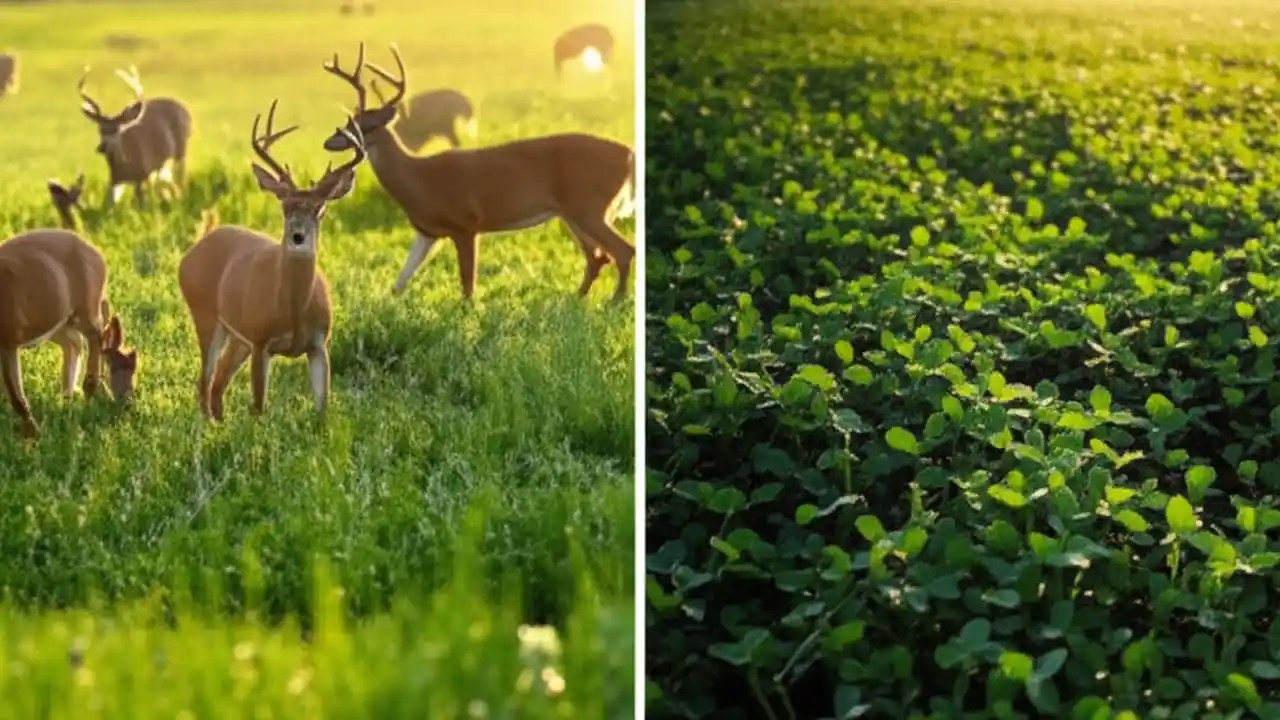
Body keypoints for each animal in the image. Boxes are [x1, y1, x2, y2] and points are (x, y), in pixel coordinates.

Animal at [0, 229, 138, 438]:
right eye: (125, 367)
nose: (129, 404)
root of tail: (99, 256)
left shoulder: (9, 338)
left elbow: (16, 397)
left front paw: (35, 437)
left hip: (85, 306)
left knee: (92, 336)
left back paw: (82, 398)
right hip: (61, 321)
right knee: (77, 342)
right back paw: (72, 398)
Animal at [78, 66, 193, 209]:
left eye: (117, 129)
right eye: (100, 129)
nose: (102, 147)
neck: (125, 165)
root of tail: (186, 110)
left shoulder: (142, 175)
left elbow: (140, 205)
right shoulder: (114, 180)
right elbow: (108, 206)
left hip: (180, 152)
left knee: (181, 181)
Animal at [178, 99, 363, 422]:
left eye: (320, 209)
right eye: (284, 207)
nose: (298, 236)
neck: (294, 311)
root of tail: (198, 246)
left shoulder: (319, 344)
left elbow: (323, 407)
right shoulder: (261, 340)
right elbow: (259, 407)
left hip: (238, 338)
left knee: (217, 384)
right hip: (206, 316)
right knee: (205, 381)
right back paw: (208, 425)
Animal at [320, 43, 635, 303]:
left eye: (364, 126)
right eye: (347, 121)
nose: (328, 142)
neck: (418, 179)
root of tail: (629, 155)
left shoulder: (466, 223)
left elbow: (468, 284)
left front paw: (465, 315)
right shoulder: (426, 232)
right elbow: (400, 281)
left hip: (589, 207)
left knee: (621, 250)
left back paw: (615, 302)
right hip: (574, 213)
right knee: (598, 257)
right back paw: (576, 298)